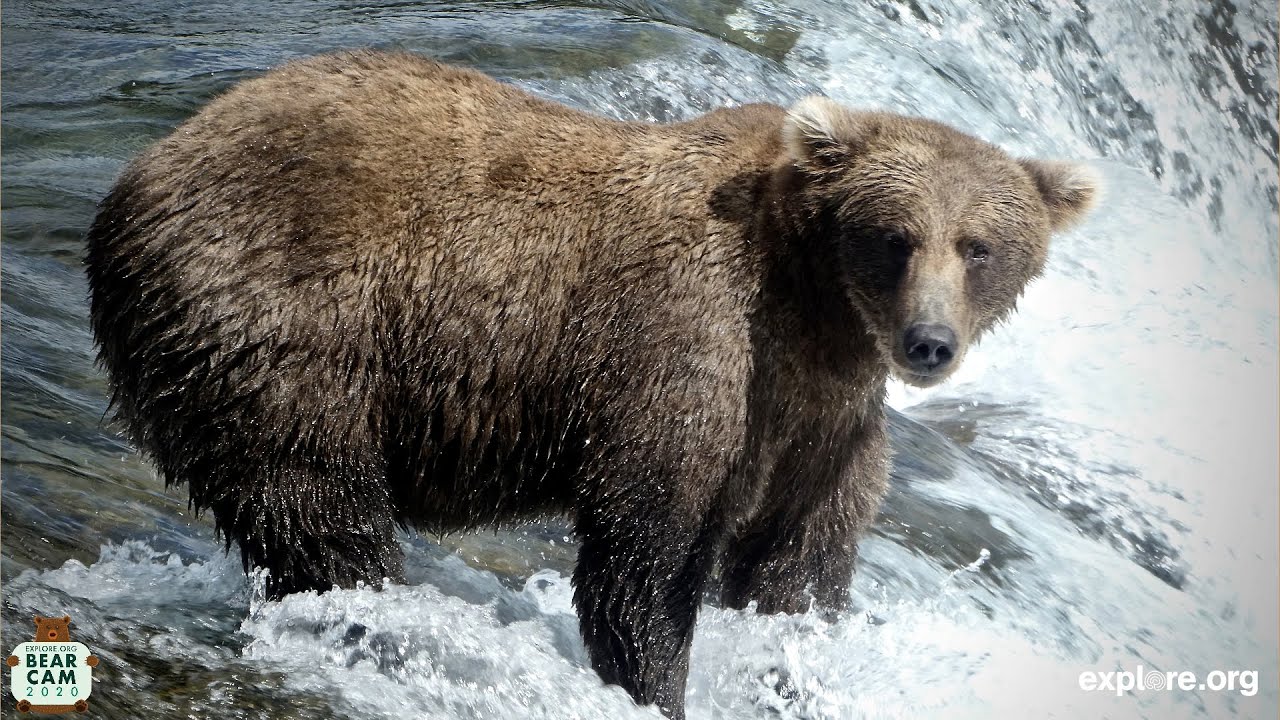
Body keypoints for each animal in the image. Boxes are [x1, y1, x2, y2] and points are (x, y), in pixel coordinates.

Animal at [85, 50, 1095, 718]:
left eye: (979, 245)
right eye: (895, 237)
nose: (928, 344)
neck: (817, 315)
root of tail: (139, 172)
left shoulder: (824, 425)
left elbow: (796, 570)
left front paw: (784, 669)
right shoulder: (689, 347)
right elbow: (647, 555)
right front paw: (655, 684)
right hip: (276, 315)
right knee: (315, 500)